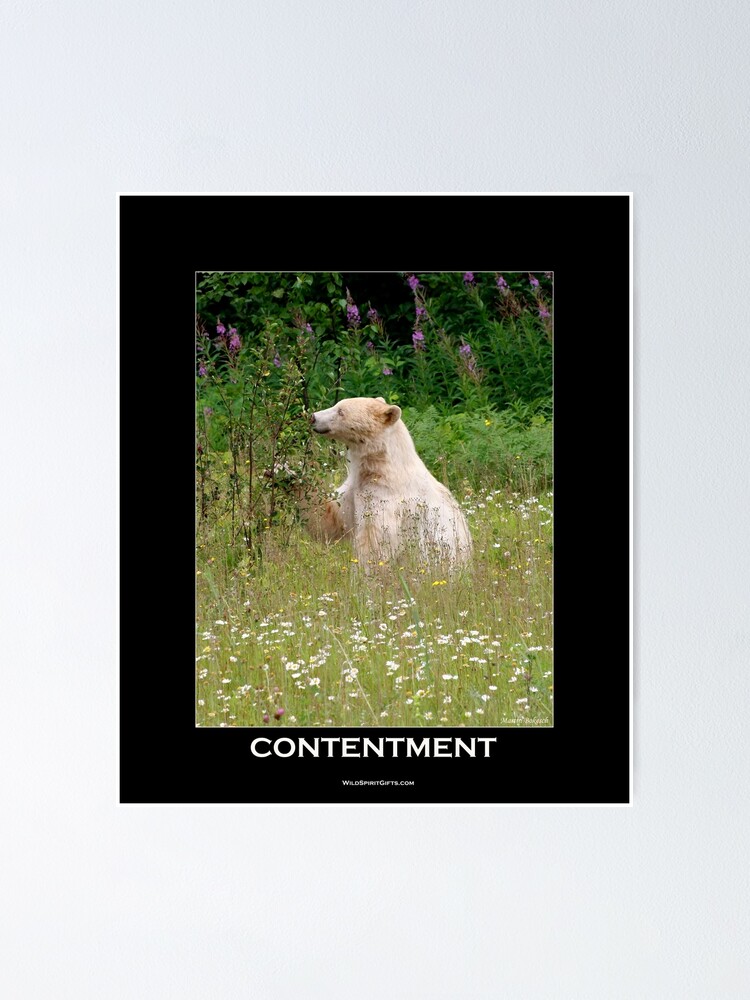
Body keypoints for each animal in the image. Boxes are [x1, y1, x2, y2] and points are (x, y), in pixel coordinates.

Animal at [310, 396, 472, 567]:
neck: (382, 467)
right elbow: (330, 517)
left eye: (341, 411)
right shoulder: (354, 487)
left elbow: (376, 538)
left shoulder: (387, 496)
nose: (313, 417)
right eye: (337, 404)